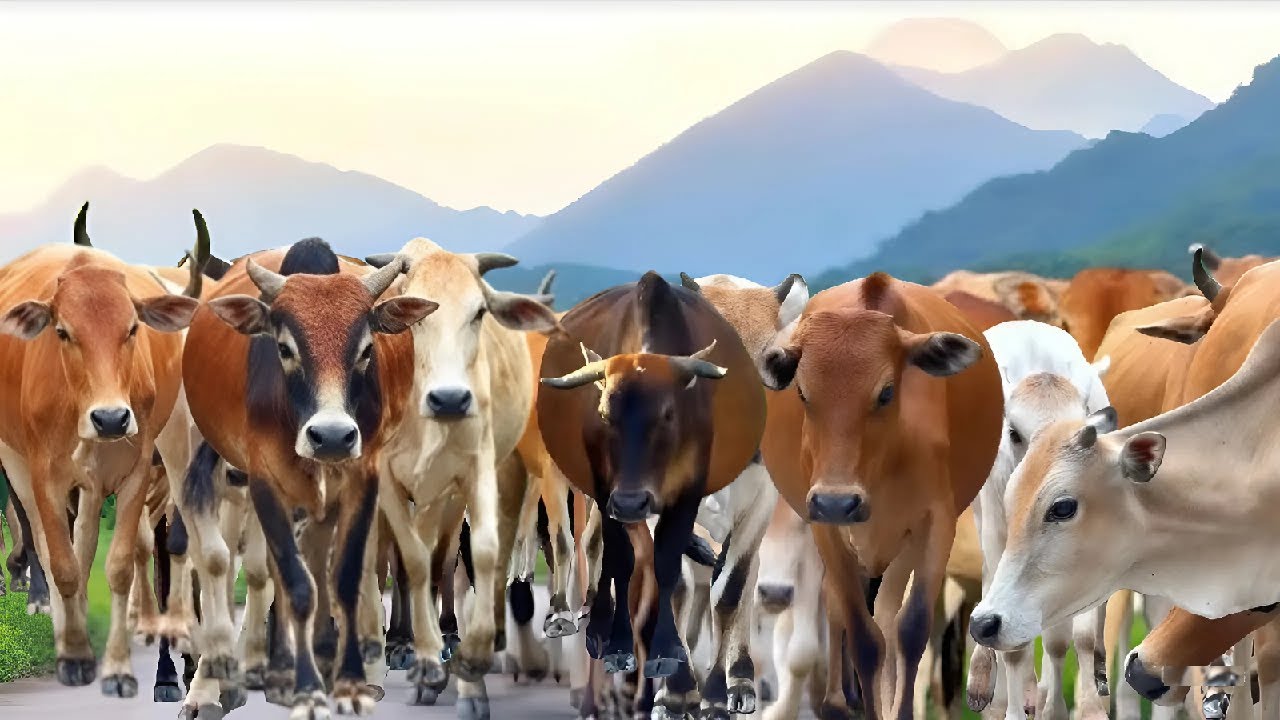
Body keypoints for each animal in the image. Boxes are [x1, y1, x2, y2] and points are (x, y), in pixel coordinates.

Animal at [0, 204, 200, 696]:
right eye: (62, 331)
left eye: (132, 329)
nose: (111, 419)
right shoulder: (45, 476)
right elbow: (65, 567)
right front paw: (74, 657)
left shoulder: (138, 474)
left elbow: (122, 565)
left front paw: (121, 669)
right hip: (21, 467)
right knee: (50, 548)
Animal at [181, 238, 436, 718]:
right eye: (284, 349)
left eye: (366, 350)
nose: (332, 436)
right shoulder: (263, 481)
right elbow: (295, 584)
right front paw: (304, 688)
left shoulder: (362, 477)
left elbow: (345, 578)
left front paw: (350, 681)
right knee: (277, 571)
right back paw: (278, 672)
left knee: (318, 560)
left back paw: (320, 653)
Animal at [361, 238, 558, 719]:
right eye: (413, 314)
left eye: (479, 312)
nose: (450, 399)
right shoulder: (387, 481)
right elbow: (411, 562)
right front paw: (426, 660)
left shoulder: (476, 469)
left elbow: (481, 555)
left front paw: (470, 670)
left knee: (466, 560)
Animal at [536, 272, 766, 713]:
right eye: (604, 412)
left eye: (669, 413)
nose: (631, 501)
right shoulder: (606, 489)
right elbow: (622, 561)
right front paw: (619, 647)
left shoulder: (688, 492)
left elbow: (669, 567)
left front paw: (668, 655)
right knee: (598, 549)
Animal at [756, 271, 1003, 719]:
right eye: (802, 393)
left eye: (886, 392)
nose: (838, 502)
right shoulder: (826, 530)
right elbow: (864, 637)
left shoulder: (934, 525)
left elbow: (909, 630)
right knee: (840, 608)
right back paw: (839, 701)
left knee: (889, 613)